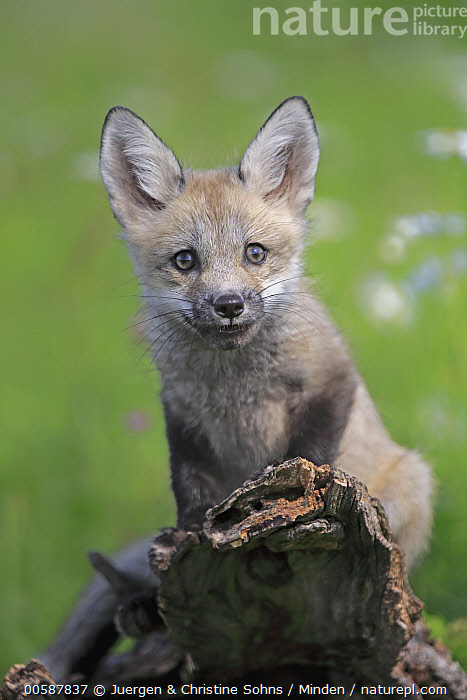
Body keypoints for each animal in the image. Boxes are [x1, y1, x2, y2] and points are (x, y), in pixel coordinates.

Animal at [40, 97, 432, 682]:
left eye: (254, 253)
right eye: (185, 260)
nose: (229, 304)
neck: (236, 384)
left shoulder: (330, 376)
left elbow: (309, 456)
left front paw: (294, 507)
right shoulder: (181, 409)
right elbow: (190, 488)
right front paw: (189, 536)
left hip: (412, 484)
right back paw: (146, 611)